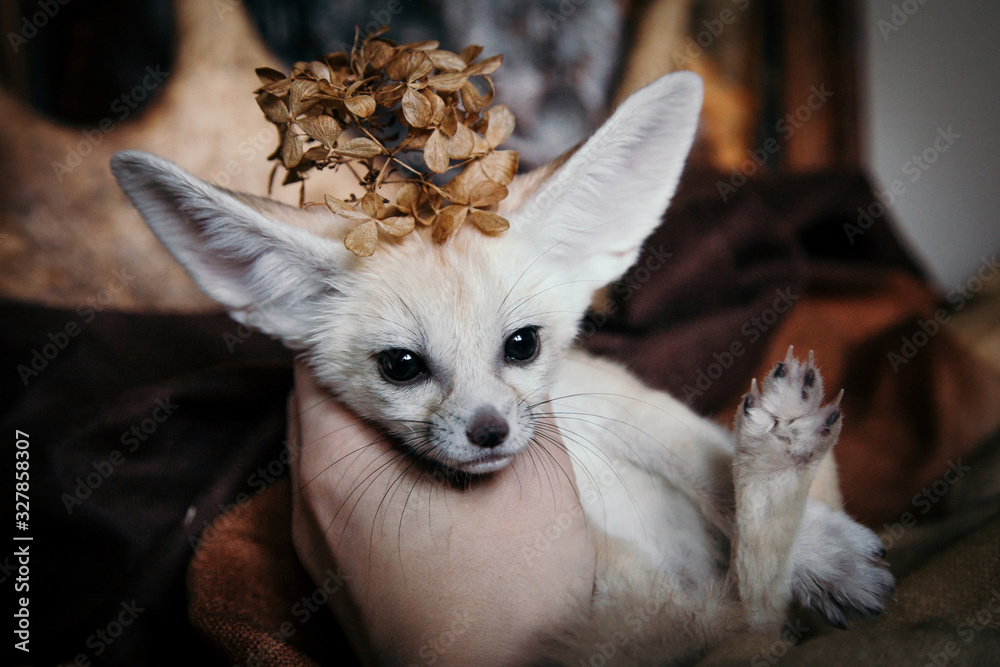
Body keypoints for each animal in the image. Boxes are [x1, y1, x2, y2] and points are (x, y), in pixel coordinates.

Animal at [110, 71, 893, 664]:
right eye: (402, 365)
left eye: (522, 346)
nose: (489, 431)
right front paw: (816, 538)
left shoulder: (614, 400)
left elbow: (706, 463)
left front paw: (825, 550)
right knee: (748, 613)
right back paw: (780, 456)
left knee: (753, 608)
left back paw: (781, 451)